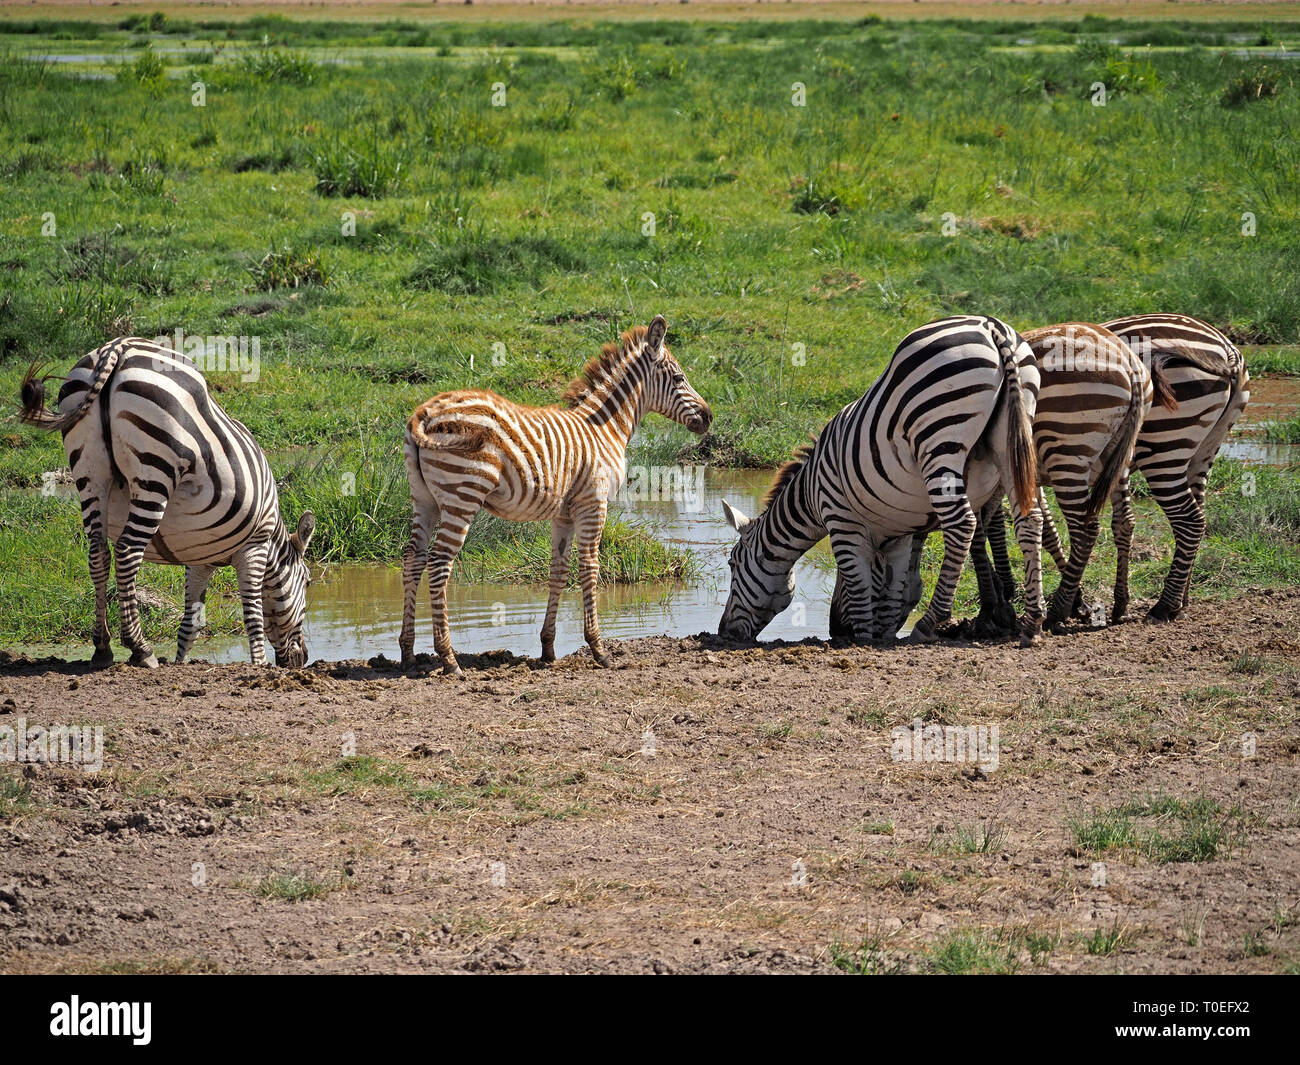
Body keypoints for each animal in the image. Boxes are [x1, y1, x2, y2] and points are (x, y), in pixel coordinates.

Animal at [19, 338, 314, 668]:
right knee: (126, 552)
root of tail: (118, 347)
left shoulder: (199, 559)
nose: (301, 660)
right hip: (155, 468)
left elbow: (191, 622)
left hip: (88, 470)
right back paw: (141, 649)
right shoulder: (254, 547)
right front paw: (259, 665)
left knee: (98, 554)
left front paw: (180, 662)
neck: (273, 542)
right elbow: (253, 613)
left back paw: (103, 648)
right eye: (308, 582)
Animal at [400, 315, 712, 676]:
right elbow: (589, 567)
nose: (709, 417)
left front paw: (548, 648)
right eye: (679, 378)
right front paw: (599, 649)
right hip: (462, 494)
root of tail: (425, 413)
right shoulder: (594, 503)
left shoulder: (564, 512)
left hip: (424, 499)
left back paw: (407, 651)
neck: (604, 429)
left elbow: (558, 571)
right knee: (439, 562)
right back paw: (448, 657)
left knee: (413, 558)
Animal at [718, 314, 1044, 648]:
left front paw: (863, 639)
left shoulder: (841, 521)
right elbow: (897, 583)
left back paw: (928, 624)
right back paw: (1032, 622)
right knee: (1030, 518)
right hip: (1013, 438)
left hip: (940, 438)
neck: (809, 493)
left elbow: (859, 582)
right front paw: (885, 635)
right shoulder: (900, 532)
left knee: (963, 524)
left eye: (732, 564)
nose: (723, 632)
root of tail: (992, 327)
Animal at [1101, 314, 1249, 621]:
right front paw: (1119, 603)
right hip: (1205, 447)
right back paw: (1183, 598)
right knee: (1199, 513)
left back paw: (1165, 605)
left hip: (1164, 443)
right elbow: (1122, 522)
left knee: (1189, 520)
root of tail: (1227, 348)